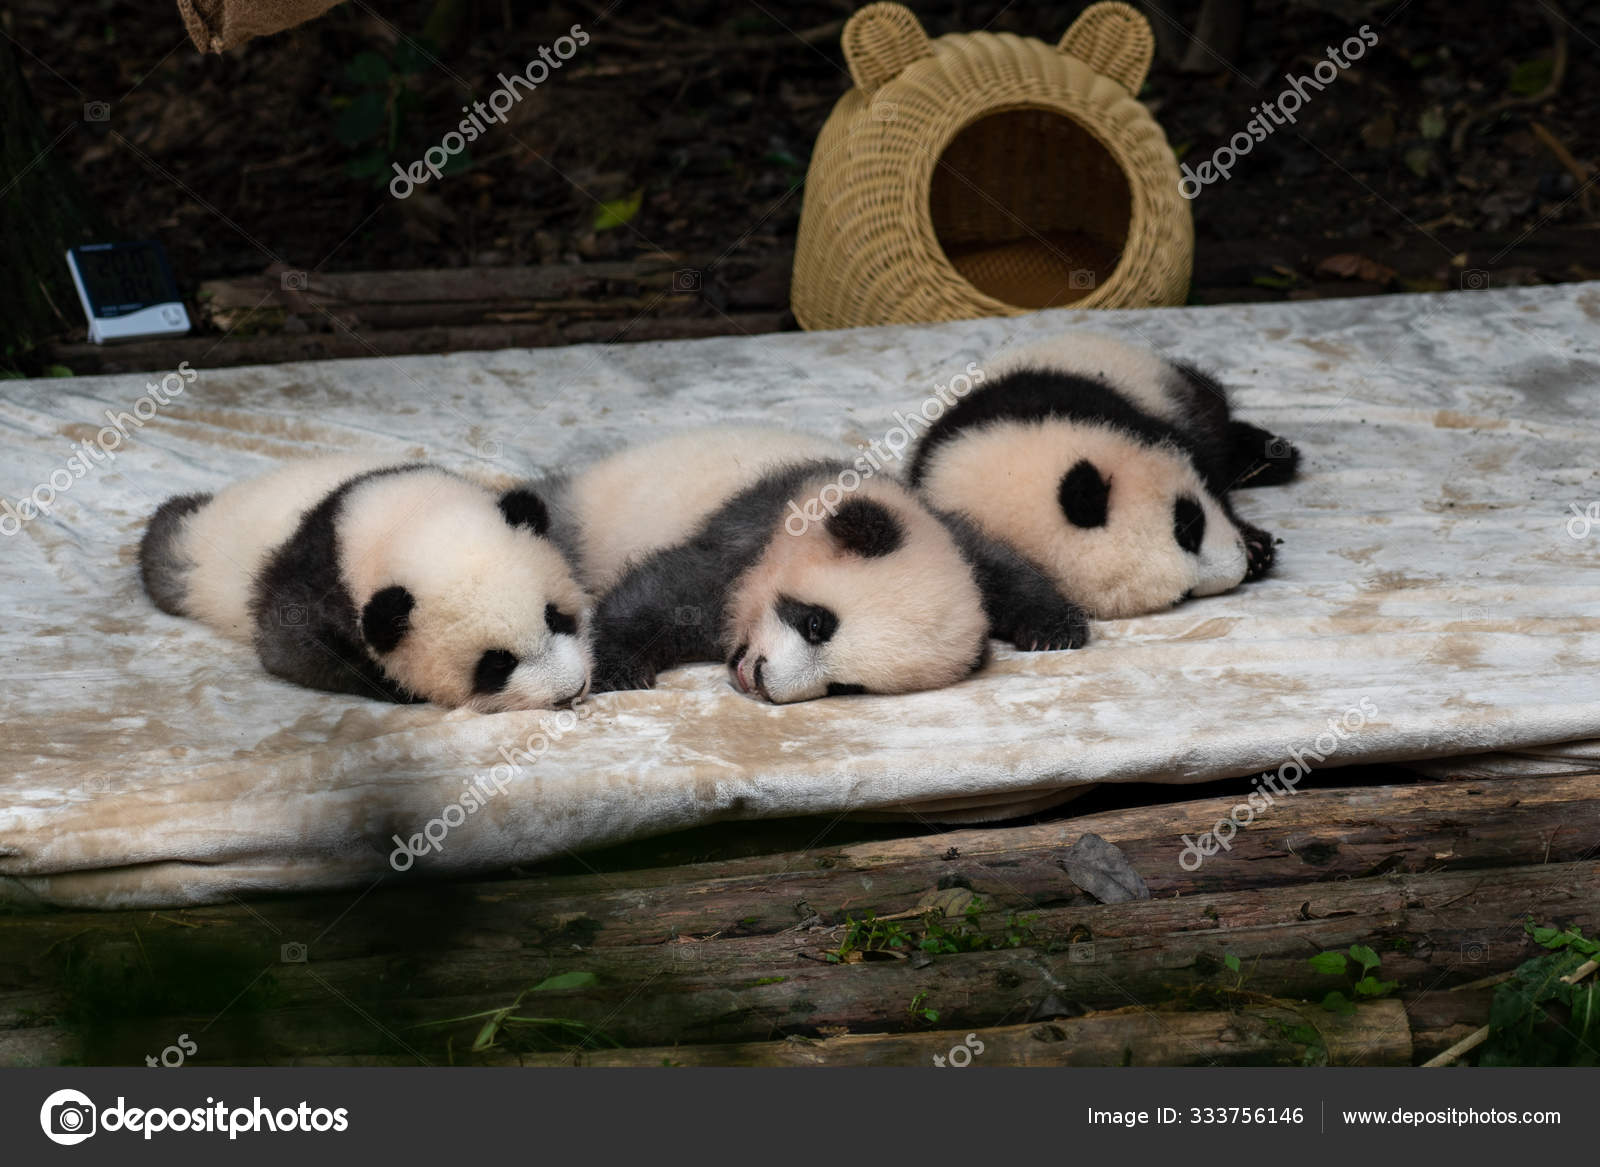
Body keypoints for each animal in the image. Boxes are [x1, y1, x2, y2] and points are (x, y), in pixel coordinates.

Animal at [138, 456, 592, 711]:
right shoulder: (315, 584)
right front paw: (397, 687)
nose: (570, 691)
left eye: (556, 618)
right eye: (496, 663)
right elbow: (290, 650)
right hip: (195, 556)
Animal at [546, 427, 1090, 703]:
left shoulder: (945, 532)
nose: (762, 682)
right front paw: (620, 667)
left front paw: (1056, 628)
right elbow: (661, 594)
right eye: (815, 623)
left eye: (846, 686)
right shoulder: (752, 529)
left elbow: (998, 566)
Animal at [908, 332, 1301, 619]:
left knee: (1210, 411)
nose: (1238, 564)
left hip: (1155, 378)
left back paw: (1271, 454)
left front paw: (1256, 545)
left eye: (1188, 526)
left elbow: (1203, 465)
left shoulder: (1071, 403)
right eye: (1183, 594)